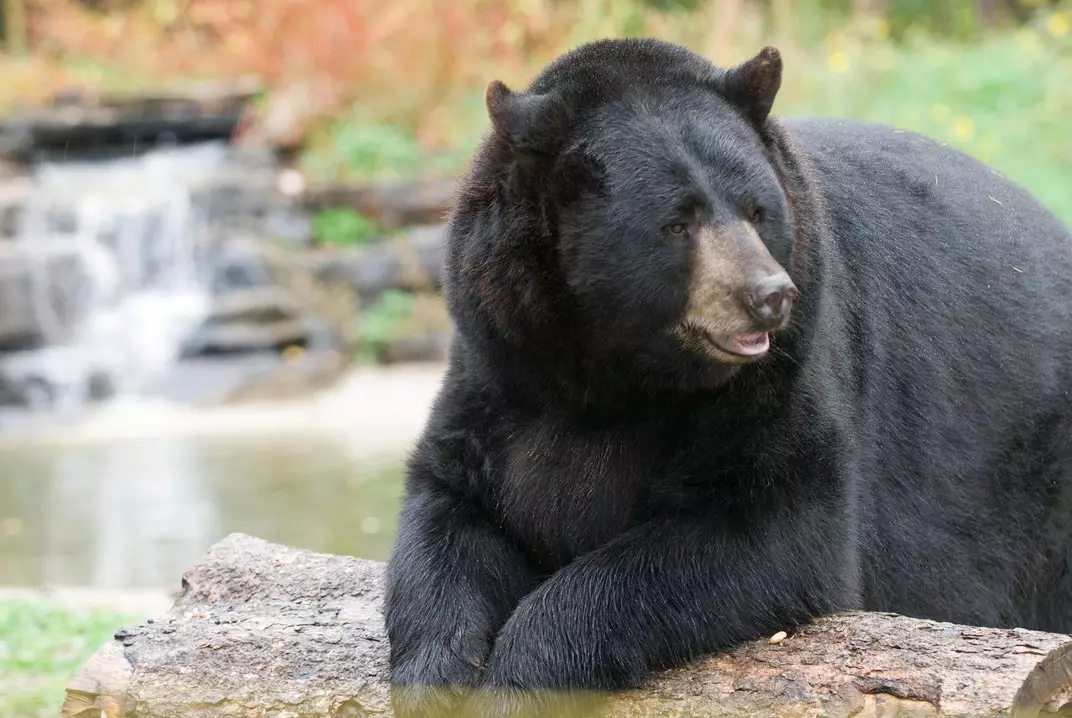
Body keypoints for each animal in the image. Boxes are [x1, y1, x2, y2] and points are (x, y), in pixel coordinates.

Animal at [381, 39, 1072, 718]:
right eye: (676, 223)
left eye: (757, 211)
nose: (770, 296)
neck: (617, 376)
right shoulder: (502, 366)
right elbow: (449, 508)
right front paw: (436, 674)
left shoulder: (783, 377)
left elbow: (769, 528)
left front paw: (520, 678)